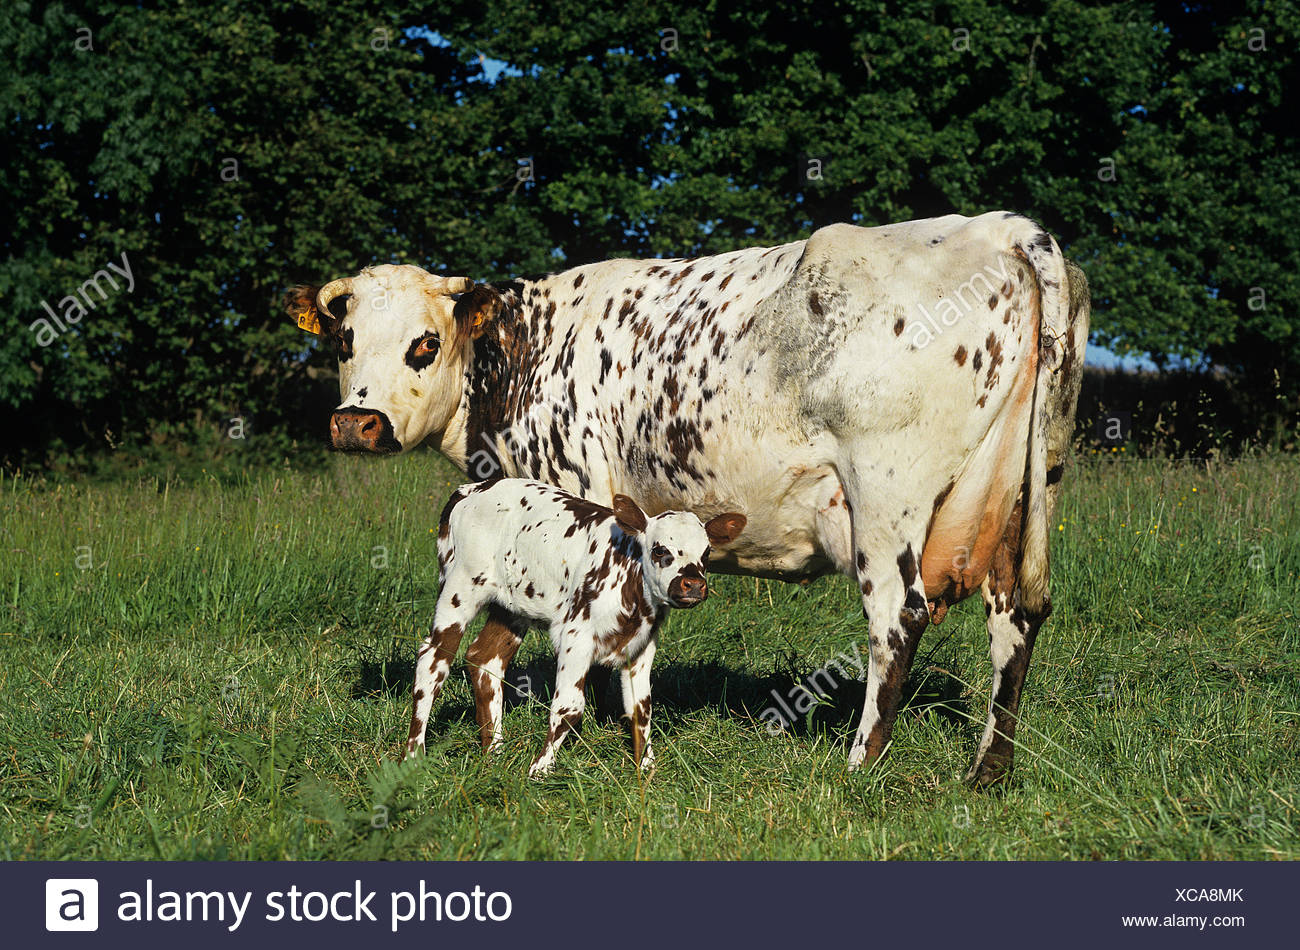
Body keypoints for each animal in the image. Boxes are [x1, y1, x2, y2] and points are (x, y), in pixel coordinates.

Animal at [405, 478, 745, 775]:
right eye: (660, 550)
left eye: (706, 553)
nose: (693, 585)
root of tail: (471, 488)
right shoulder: (575, 636)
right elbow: (569, 707)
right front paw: (540, 769)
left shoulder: (641, 646)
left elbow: (641, 707)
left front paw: (646, 769)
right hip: (460, 589)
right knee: (433, 660)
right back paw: (414, 754)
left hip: (510, 607)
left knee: (484, 658)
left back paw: (495, 753)